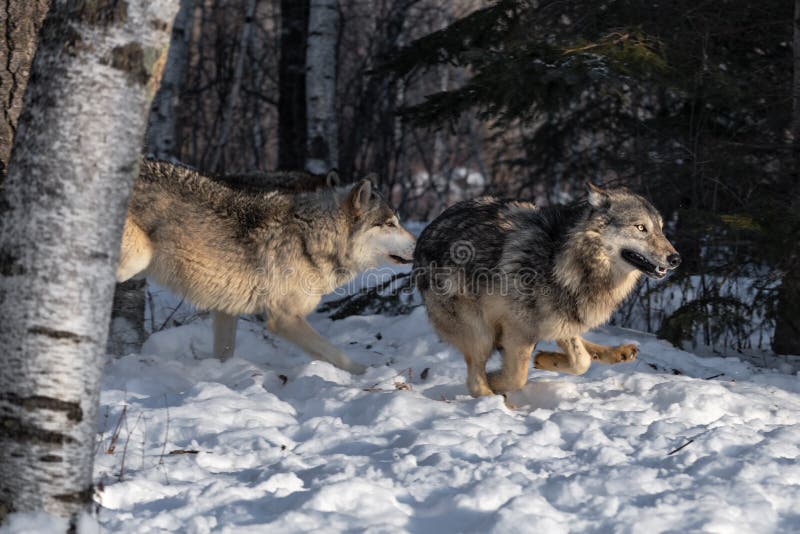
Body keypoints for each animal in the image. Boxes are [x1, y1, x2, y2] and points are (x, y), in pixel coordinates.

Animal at [117, 159, 416, 374]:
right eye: (390, 224)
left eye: (398, 221)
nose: (420, 244)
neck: (309, 238)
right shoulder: (283, 319)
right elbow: (337, 354)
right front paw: (370, 374)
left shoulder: (226, 308)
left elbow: (225, 353)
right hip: (137, 258)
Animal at [413, 183, 680, 397]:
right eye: (641, 228)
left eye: (661, 229)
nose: (676, 258)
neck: (565, 260)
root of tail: (423, 236)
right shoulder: (519, 331)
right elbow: (517, 377)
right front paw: (497, 381)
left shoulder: (563, 315)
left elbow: (581, 361)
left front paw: (544, 359)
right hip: (479, 332)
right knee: (475, 380)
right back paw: (491, 400)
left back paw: (618, 352)